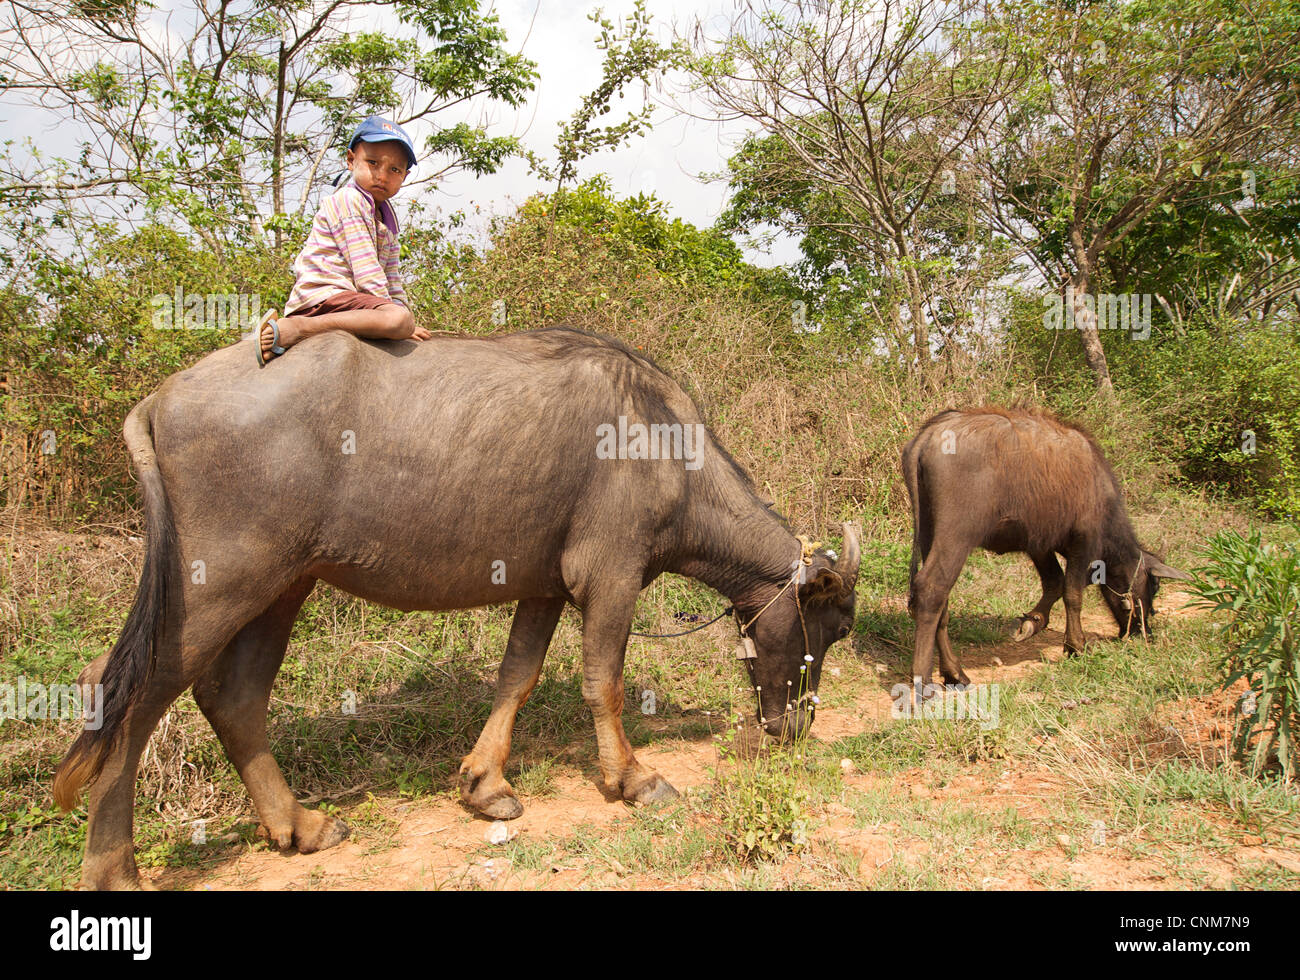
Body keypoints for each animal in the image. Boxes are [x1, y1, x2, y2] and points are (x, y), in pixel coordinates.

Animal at [54, 326, 860, 889]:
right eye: (833, 628)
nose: (796, 726)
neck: (664, 449)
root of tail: (161, 399)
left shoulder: (543, 586)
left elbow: (517, 678)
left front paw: (485, 785)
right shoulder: (611, 577)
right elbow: (604, 682)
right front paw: (633, 780)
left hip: (283, 586)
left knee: (233, 696)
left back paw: (300, 826)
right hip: (215, 584)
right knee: (123, 695)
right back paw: (114, 869)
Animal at [902, 406, 1187, 689]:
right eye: (1154, 586)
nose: (1144, 632)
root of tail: (931, 433)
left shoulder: (1039, 544)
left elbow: (1055, 582)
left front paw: (1032, 622)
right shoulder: (1084, 542)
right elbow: (1073, 593)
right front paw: (1076, 645)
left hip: (929, 531)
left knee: (941, 601)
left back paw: (954, 672)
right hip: (957, 534)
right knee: (932, 588)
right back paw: (924, 678)